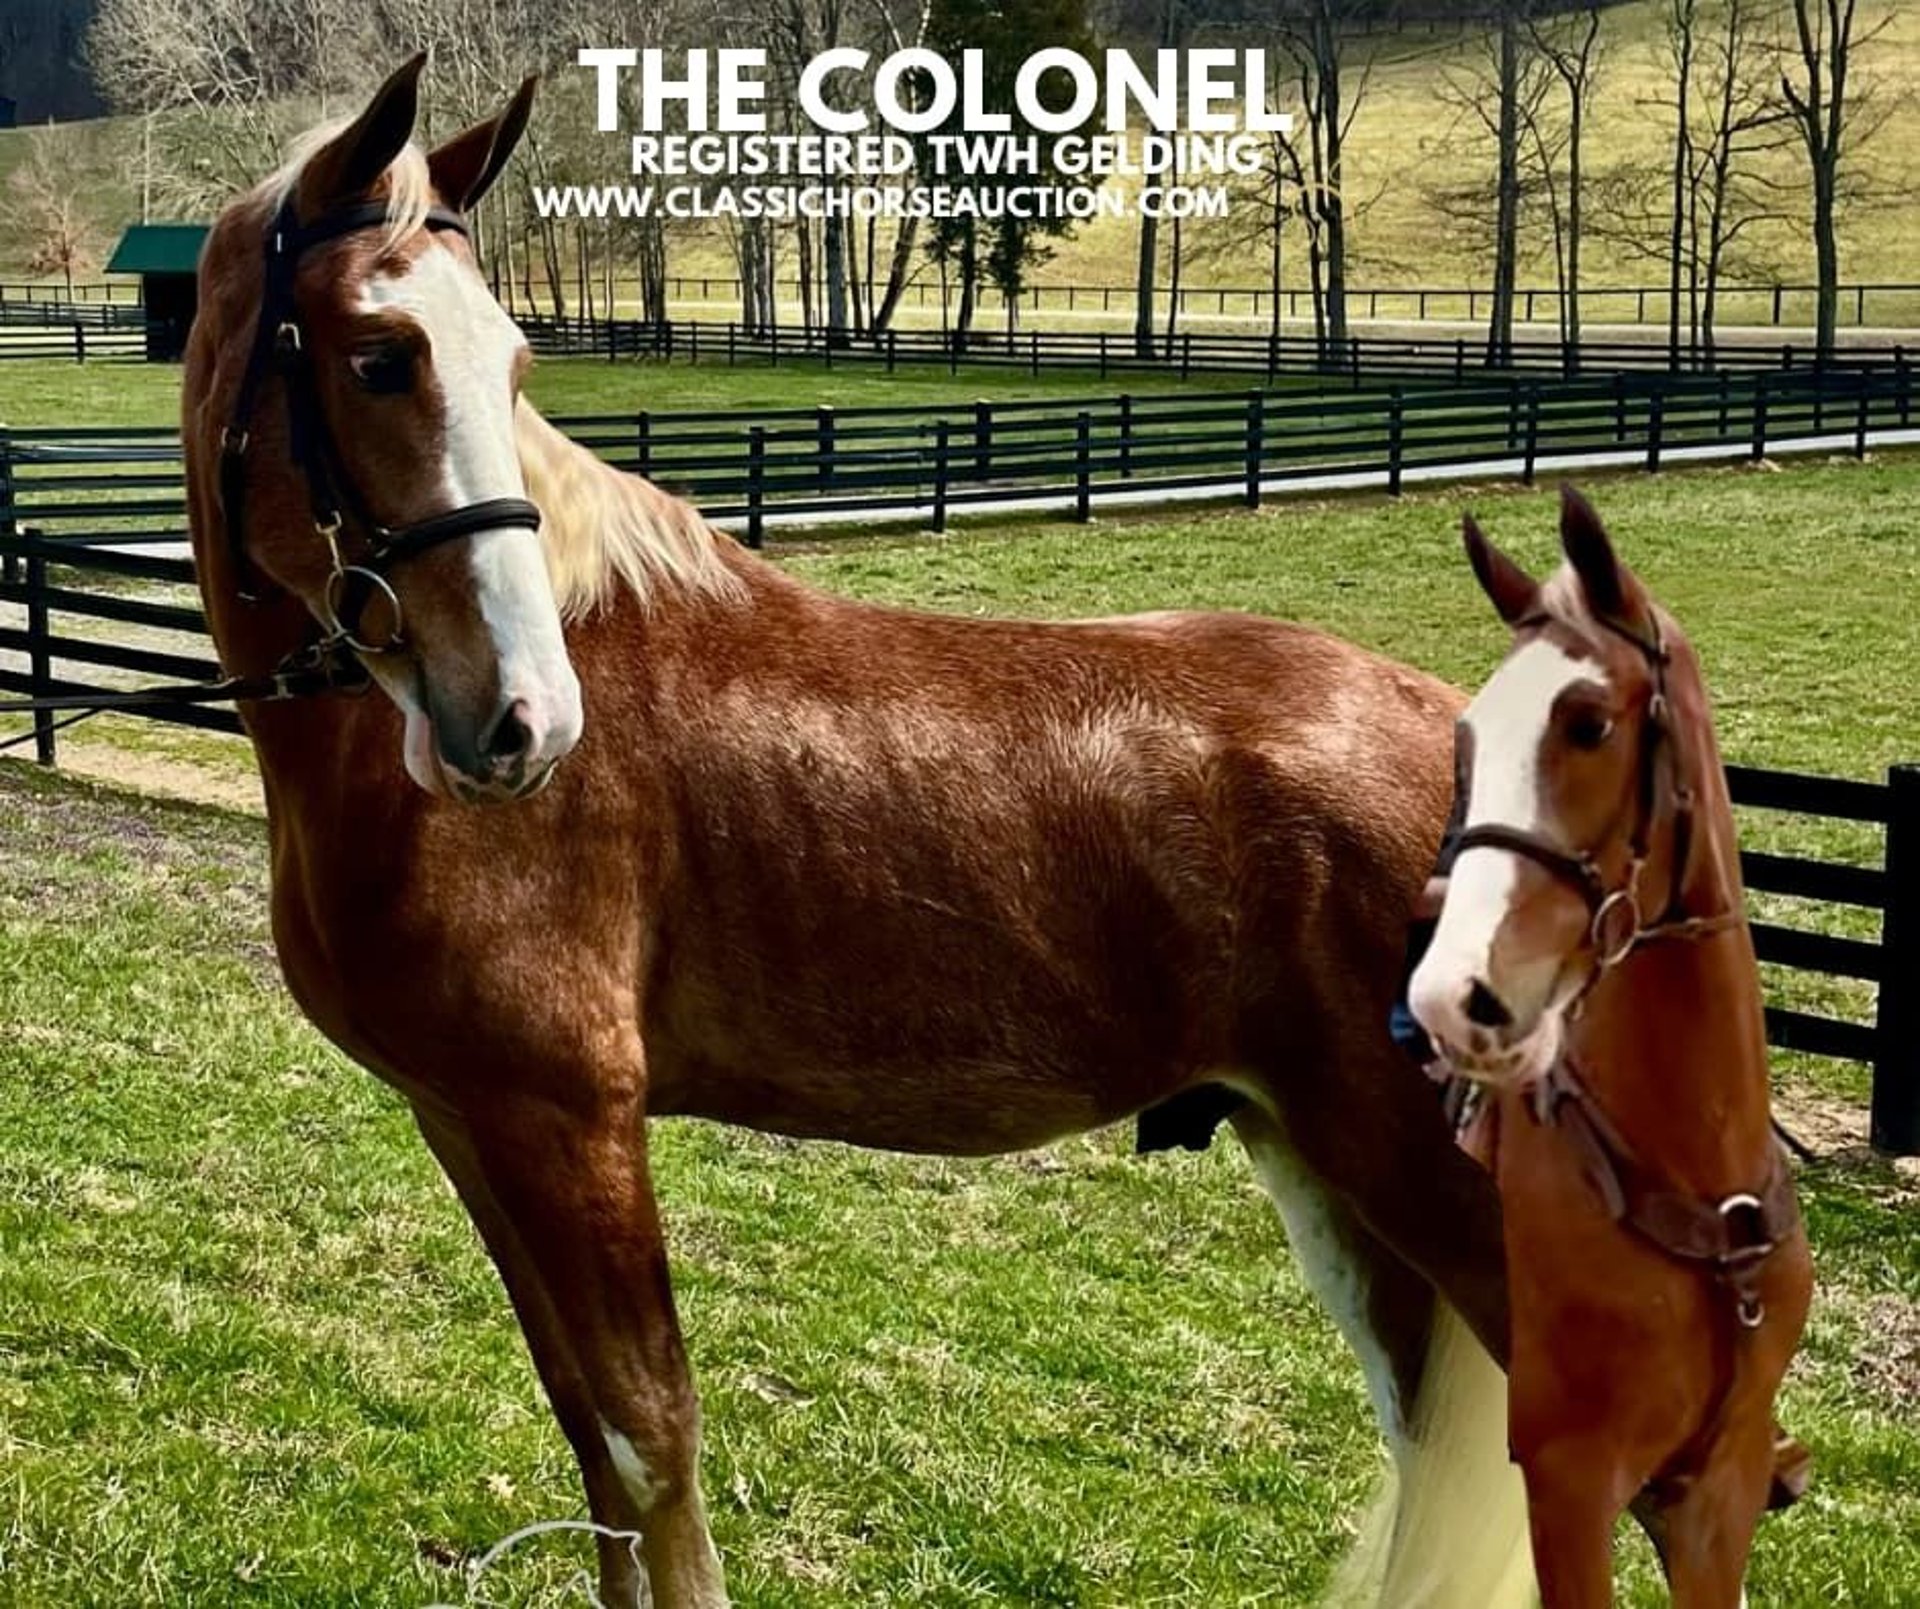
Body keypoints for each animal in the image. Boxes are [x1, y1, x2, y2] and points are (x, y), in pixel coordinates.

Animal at [181, 57, 1531, 1607]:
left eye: (507, 365)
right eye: (378, 359)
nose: (525, 719)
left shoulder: (573, 1121)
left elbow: (650, 1443)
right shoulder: (470, 1118)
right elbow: (591, 1446)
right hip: (1335, 1185)